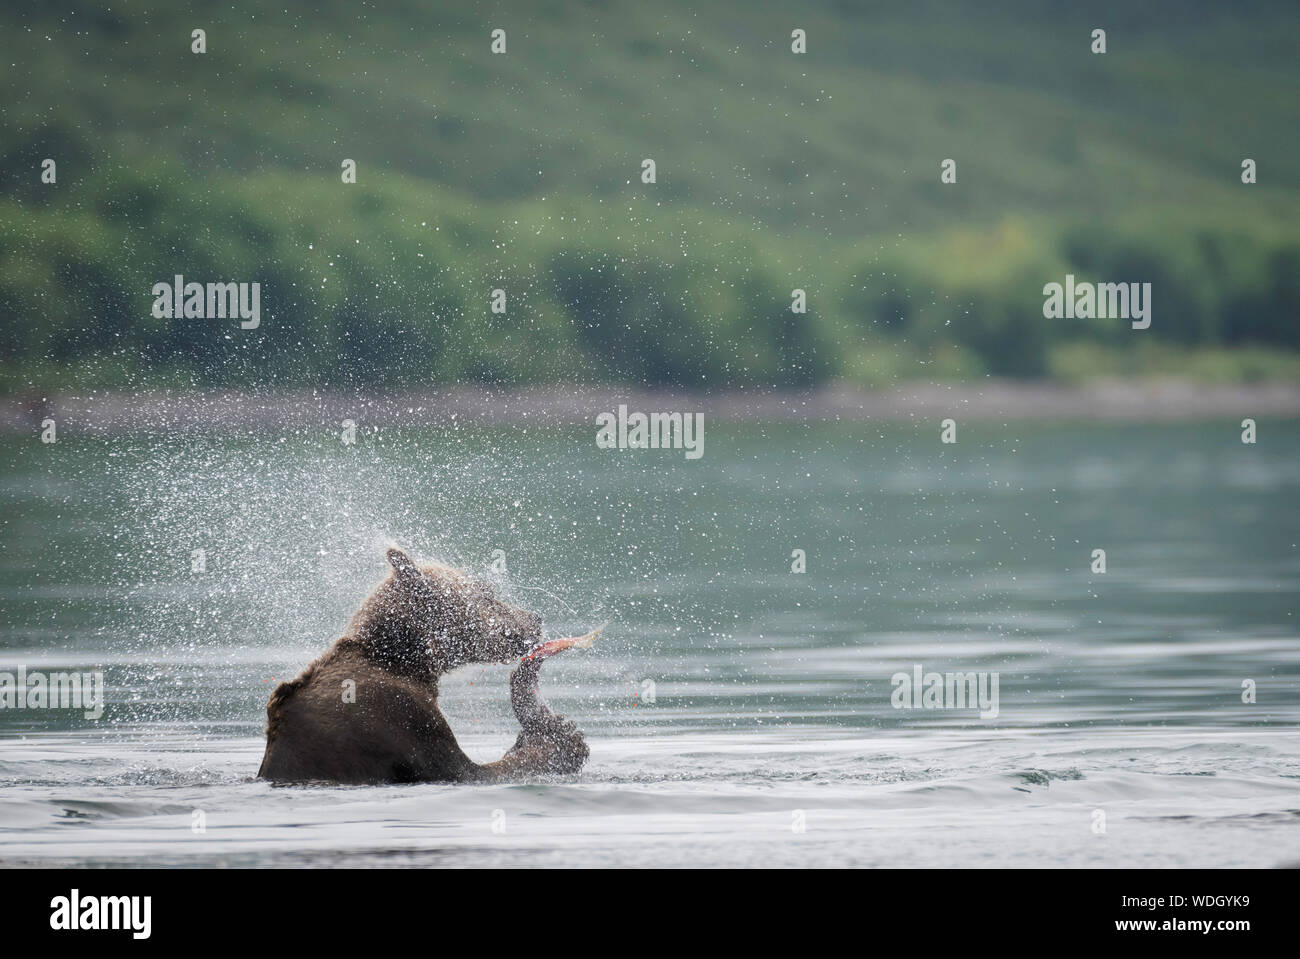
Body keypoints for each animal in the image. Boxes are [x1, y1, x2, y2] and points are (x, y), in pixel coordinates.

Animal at [257, 547, 589, 784]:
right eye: (487, 593)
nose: (534, 618)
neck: (402, 660)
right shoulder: (399, 720)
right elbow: (471, 770)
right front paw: (565, 741)